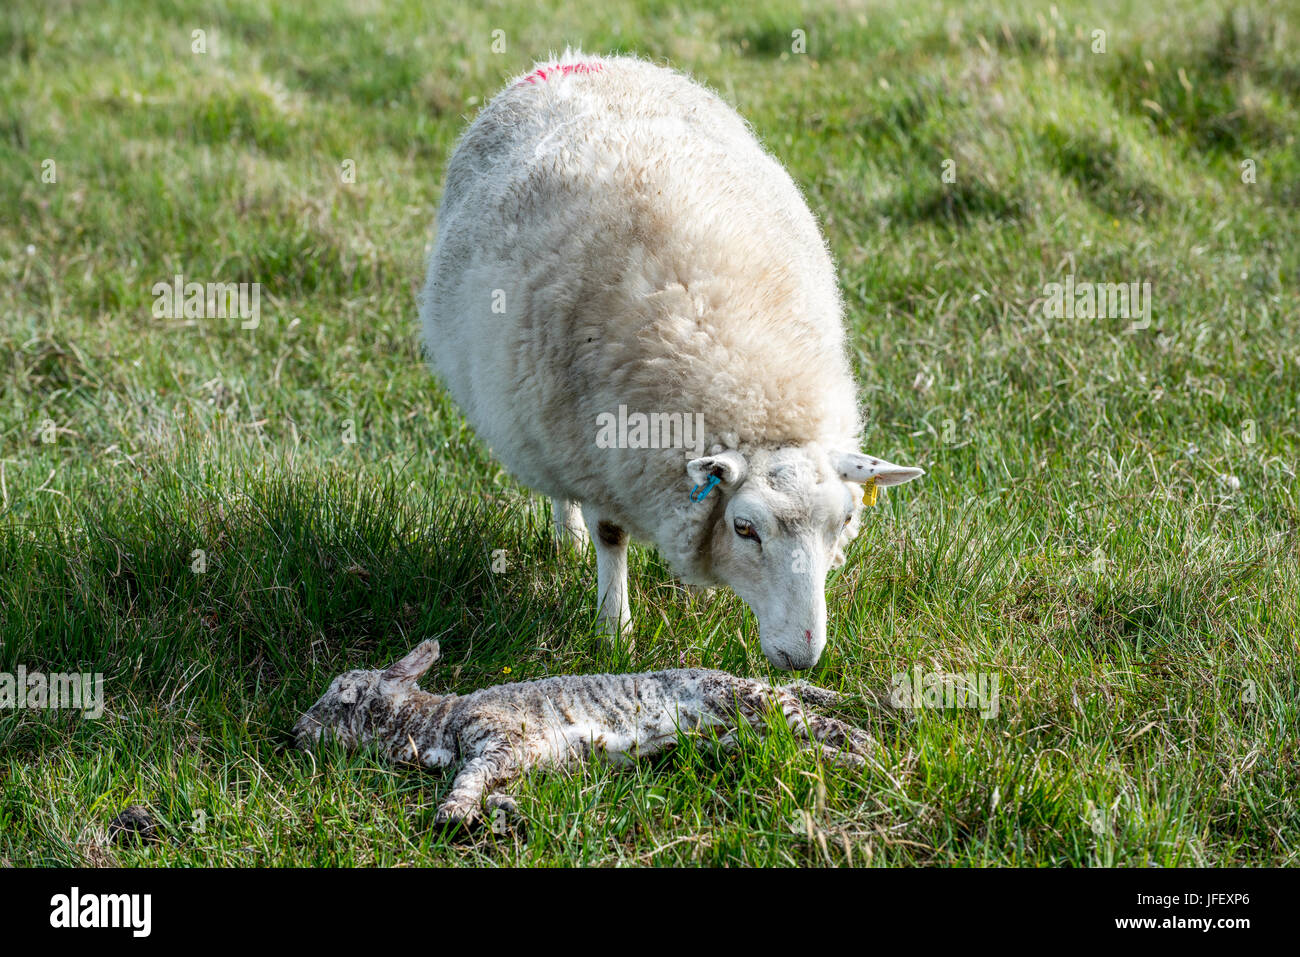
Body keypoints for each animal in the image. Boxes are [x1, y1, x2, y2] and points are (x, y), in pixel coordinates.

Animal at [294, 641, 883, 829]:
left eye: (342, 693)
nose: (295, 730)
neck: (438, 723)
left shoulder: (503, 737)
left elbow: (470, 775)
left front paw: (453, 812)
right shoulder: (516, 759)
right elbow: (495, 786)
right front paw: (502, 815)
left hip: (749, 701)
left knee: (824, 723)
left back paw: (873, 750)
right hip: (744, 730)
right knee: (802, 726)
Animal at [419, 52, 924, 670]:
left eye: (845, 521)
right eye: (745, 528)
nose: (802, 658)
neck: (745, 379)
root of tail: (574, 59)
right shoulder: (597, 451)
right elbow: (611, 535)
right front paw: (615, 631)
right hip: (540, 414)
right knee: (560, 492)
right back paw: (567, 539)